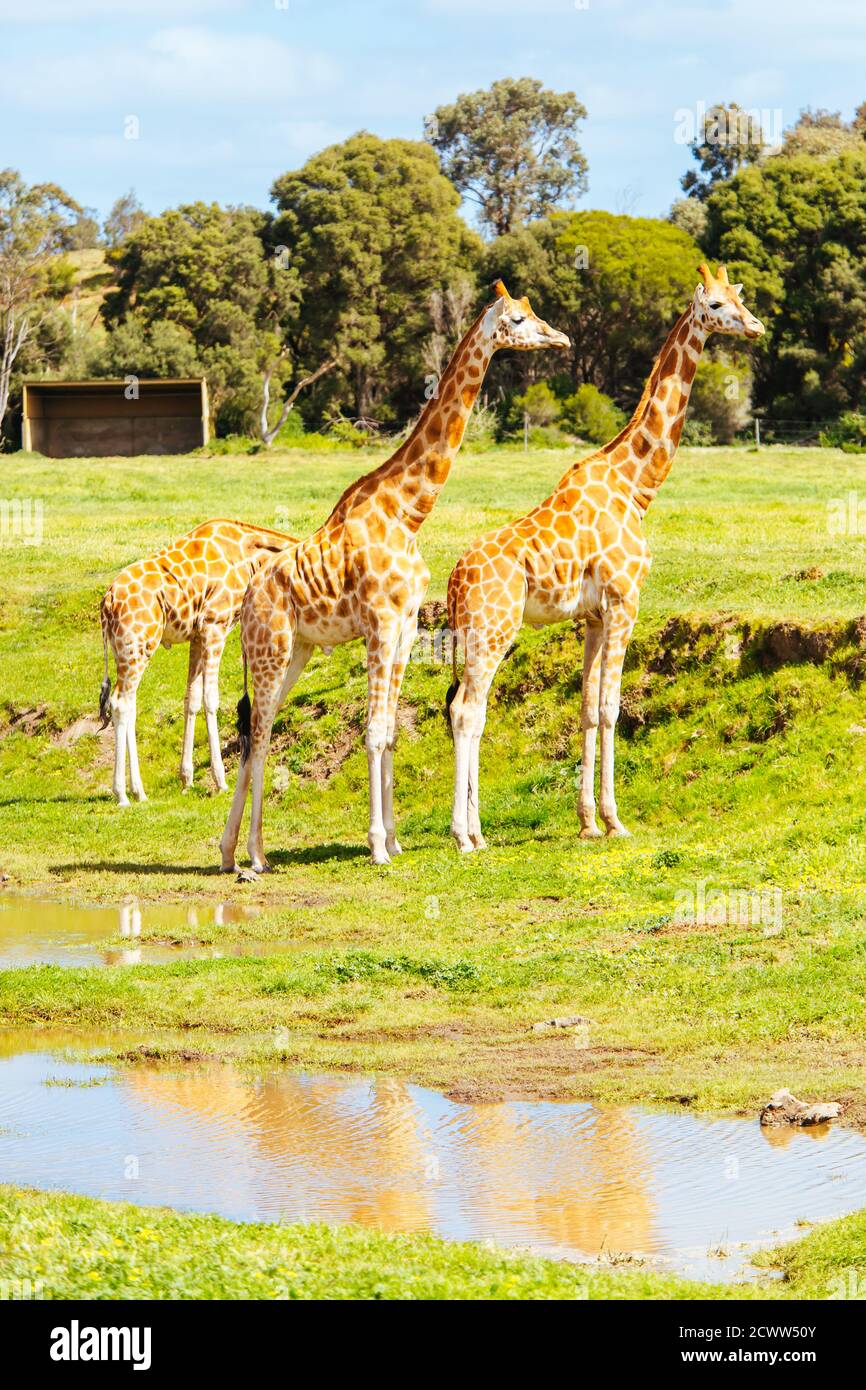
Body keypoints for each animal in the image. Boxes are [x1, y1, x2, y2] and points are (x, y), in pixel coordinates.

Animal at [99, 518, 296, 806]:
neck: (249, 555)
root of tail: (108, 601)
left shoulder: (196, 635)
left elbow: (190, 698)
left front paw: (187, 778)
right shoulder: (215, 625)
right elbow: (210, 698)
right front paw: (220, 781)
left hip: (124, 650)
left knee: (128, 704)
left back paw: (138, 791)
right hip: (137, 645)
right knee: (121, 703)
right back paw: (123, 794)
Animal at [219, 281, 570, 872]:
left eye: (535, 313)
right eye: (520, 320)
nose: (561, 338)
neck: (408, 511)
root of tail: (247, 597)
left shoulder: (405, 627)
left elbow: (389, 734)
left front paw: (395, 838)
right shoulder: (380, 624)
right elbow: (375, 729)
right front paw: (379, 846)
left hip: (297, 652)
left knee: (252, 728)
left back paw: (227, 852)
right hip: (270, 647)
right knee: (261, 731)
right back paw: (256, 855)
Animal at [446, 264, 764, 852]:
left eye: (739, 297)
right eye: (714, 305)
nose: (755, 327)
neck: (637, 485)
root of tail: (454, 581)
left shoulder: (593, 616)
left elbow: (588, 710)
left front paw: (588, 821)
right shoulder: (625, 600)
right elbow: (613, 708)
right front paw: (616, 820)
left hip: (478, 634)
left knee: (472, 710)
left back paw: (477, 831)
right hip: (492, 630)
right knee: (465, 710)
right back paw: (464, 836)